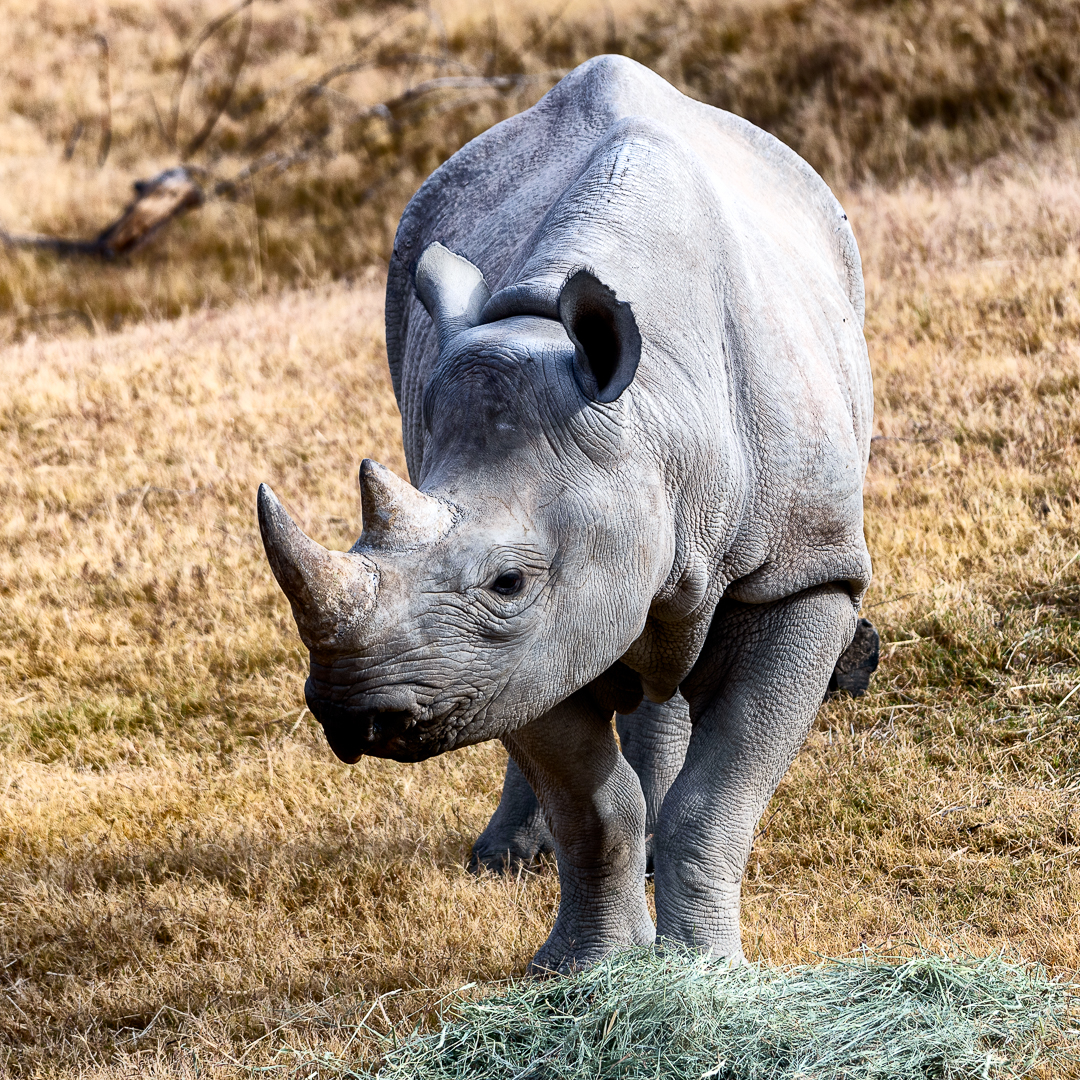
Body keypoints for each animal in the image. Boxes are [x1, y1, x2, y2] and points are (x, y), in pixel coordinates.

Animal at [257, 54, 879, 972]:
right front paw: (585, 970)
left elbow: (718, 797)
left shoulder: (806, 572)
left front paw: (704, 970)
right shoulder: (521, 648)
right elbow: (591, 800)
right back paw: (506, 860)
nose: (352, 711)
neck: (657, 424)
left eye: (508, 583)